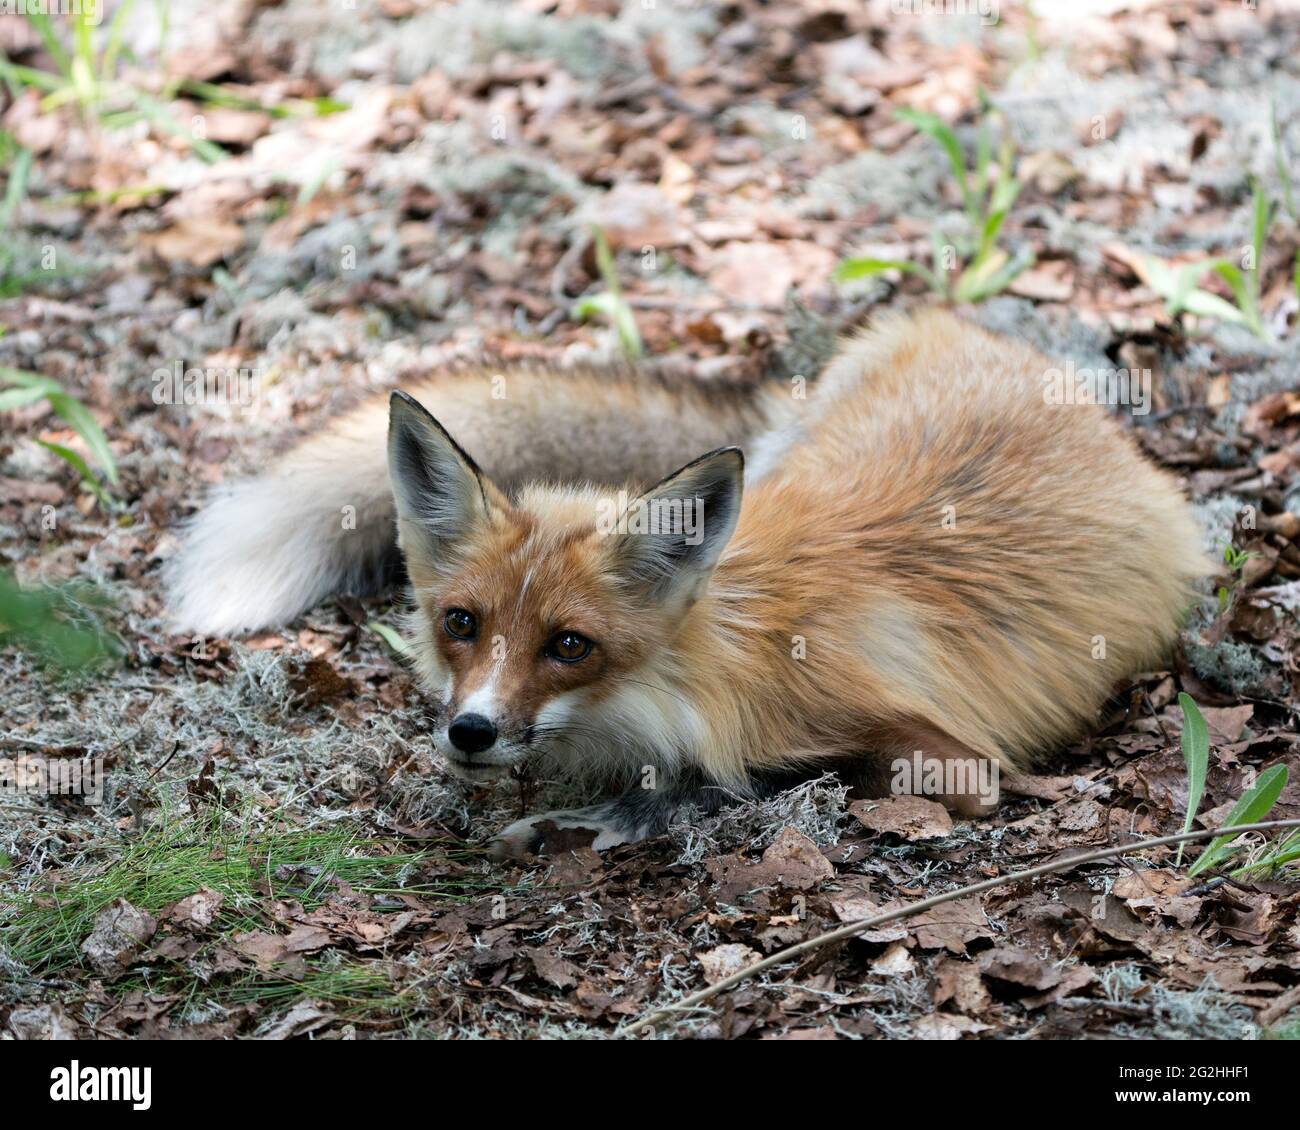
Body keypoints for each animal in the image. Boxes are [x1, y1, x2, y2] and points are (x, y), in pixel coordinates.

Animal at [169, 310, 1208, 858]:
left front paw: (603, 815)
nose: (469, 732)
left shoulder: (955, 764)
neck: (708, 670)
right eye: (461, 623)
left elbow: (768, 775)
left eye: (570, 645)